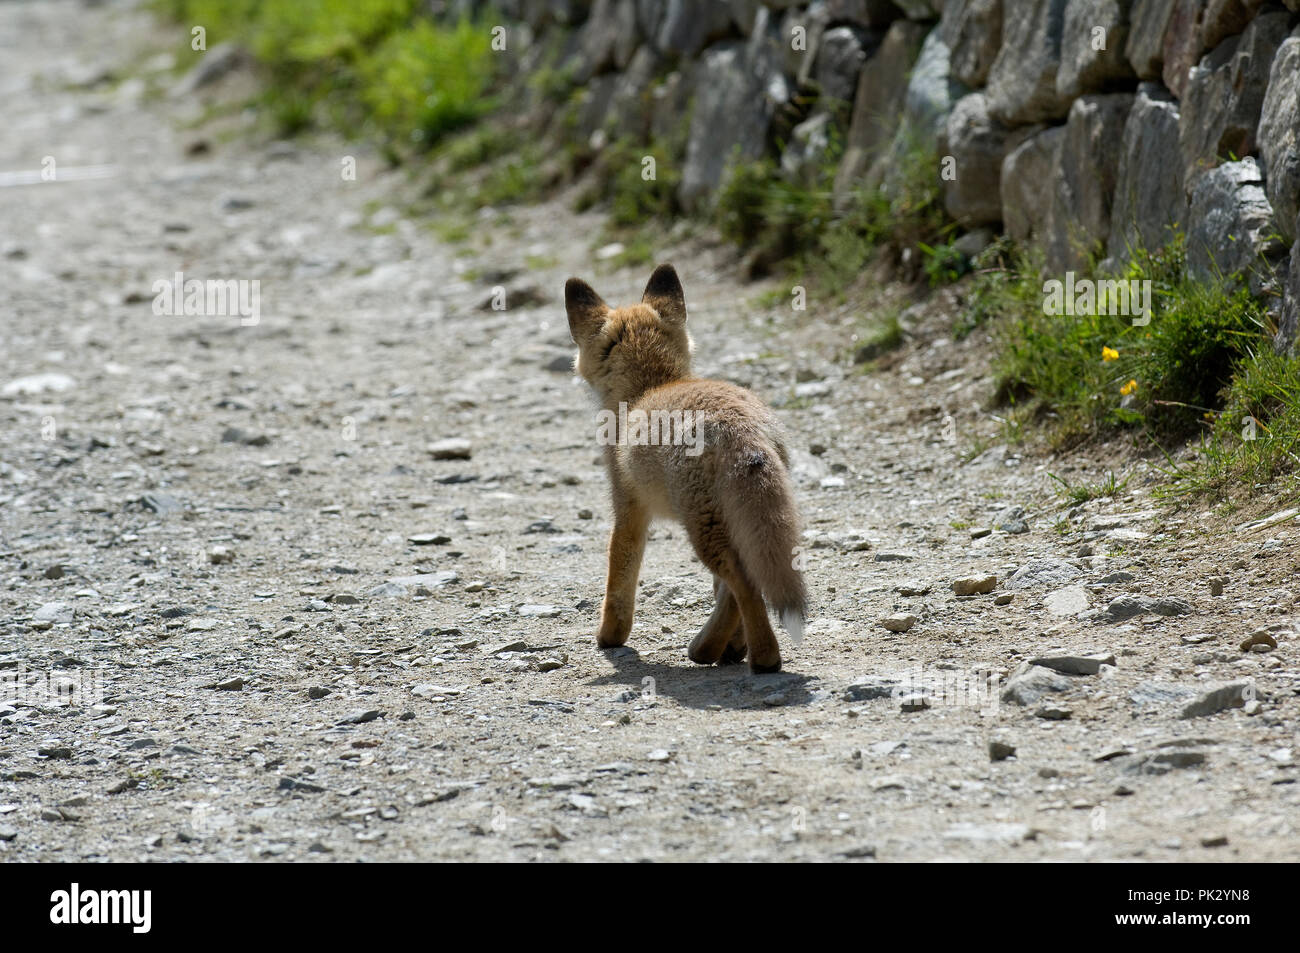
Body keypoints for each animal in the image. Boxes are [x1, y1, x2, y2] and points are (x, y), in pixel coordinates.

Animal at [565, 263, 807, 673]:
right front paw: (731, 647)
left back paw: (758, 657)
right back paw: (722, 649)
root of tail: (735, 426)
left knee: (743, 585)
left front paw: (610, 637)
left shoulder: (628, 509)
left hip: (703, 528)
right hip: (738, 519)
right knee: (738, 585)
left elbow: (619, 579)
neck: (650, 387)